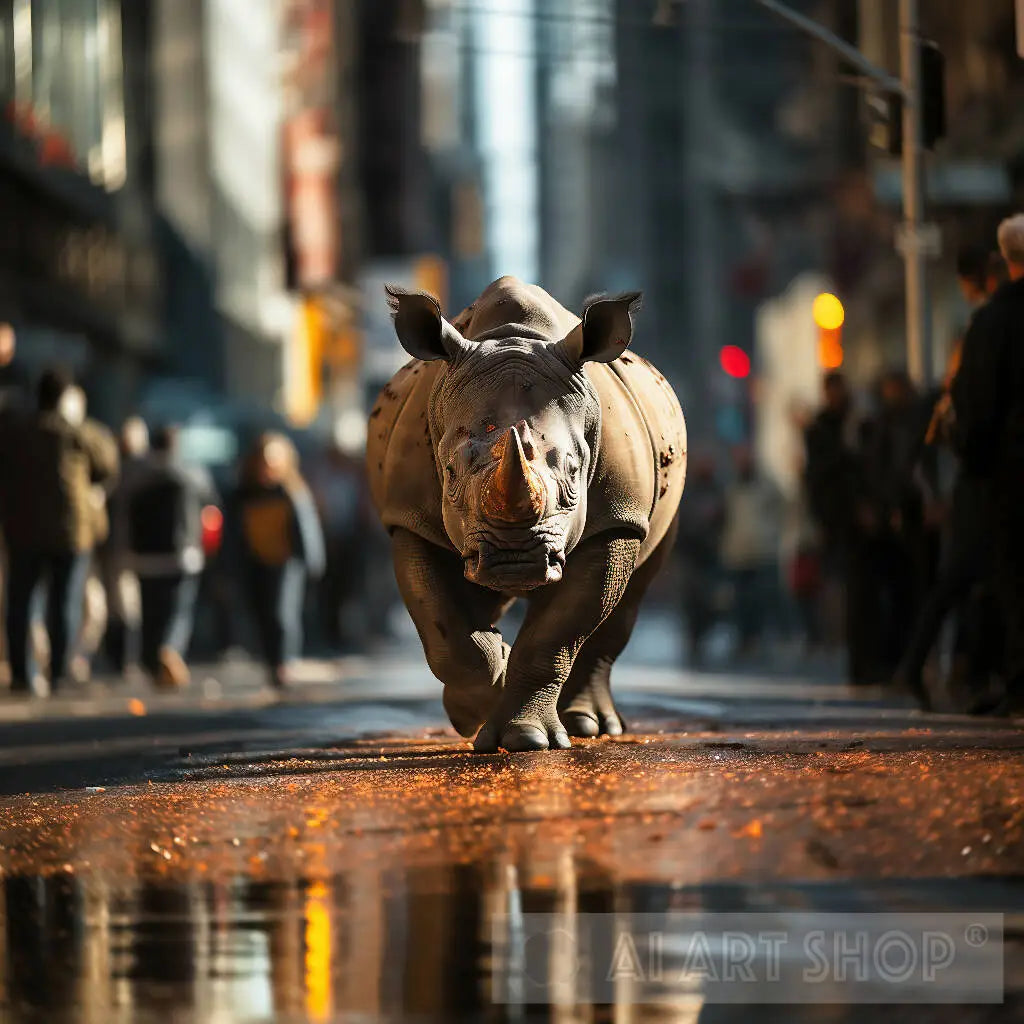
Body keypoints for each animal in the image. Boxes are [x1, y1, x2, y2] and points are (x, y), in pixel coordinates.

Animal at [367, 276, 686, 751]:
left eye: (574, 470)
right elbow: (446, 630)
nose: (514, 559)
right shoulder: (410, 519)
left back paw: (590, 726)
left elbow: (556, 635)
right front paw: (480, 706)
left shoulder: (616, 520)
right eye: (450, 472)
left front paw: (527, 739)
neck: (515, 337)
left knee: (629, 600)